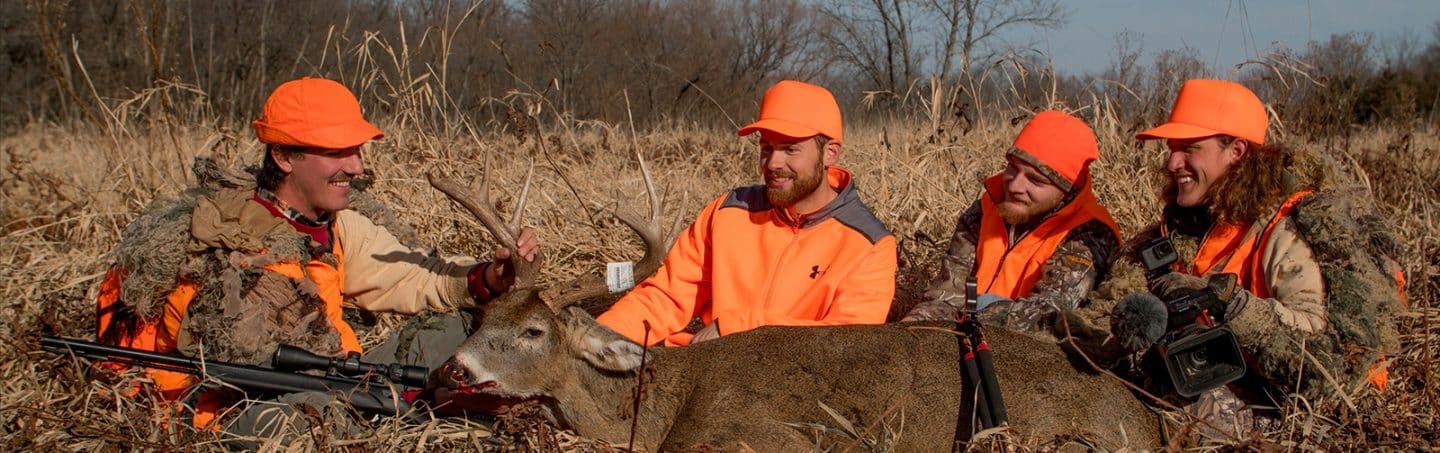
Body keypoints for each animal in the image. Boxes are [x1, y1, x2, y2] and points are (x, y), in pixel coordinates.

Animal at [423, 153, 1164, 451]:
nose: (451, 368)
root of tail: (1146, 419)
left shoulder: (759, 435)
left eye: (534, 331)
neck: (663, 407)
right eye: (482, 317)